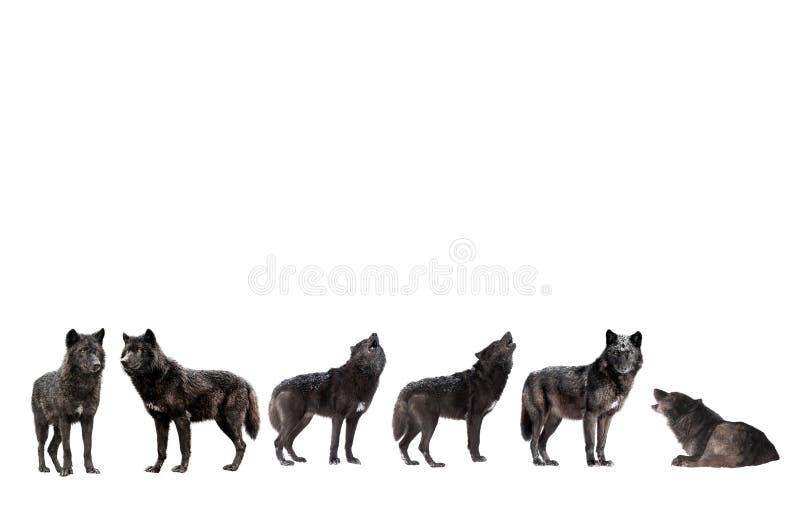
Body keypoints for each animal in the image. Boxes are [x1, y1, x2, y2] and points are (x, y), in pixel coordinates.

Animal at [31, 329, 106, 476]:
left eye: (96, 351)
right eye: (82, 350)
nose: (97, 364)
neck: (82, 387)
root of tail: (37, 380)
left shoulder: (88, 420)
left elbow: (88, 447)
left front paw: (90, 468)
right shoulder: (65, 420)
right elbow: (67, 448)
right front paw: (67, 469)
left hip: (57, 429)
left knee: (51, 449)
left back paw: (59, 468)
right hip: (43, 427)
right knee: (40, 446)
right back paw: (44, 467)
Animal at [120, 329, 260, 472]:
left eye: (139, 349)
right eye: (127, 351)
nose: (123, 361)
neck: (158, 378)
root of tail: (245, 382)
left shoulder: (182, 419)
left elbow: (184, 448)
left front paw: (182, 468)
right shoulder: (160, 420)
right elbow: (161, 449)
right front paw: (156, 468)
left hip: (230, 422)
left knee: (241, 445)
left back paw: (233, 466)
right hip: (223, 423)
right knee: (242, 444)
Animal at [269, 333, 386, 466]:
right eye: (363, 341)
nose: (374, 333)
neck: (362, 373)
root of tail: (278, 387)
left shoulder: (353, 418)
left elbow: (349, 442)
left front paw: (351, 459)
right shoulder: (338, 416)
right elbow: (335, 441)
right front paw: (333, 460)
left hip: (303, 422)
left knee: (288, 441)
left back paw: (297, 458)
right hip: (292, 421)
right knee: (278, 441)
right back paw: (284, 462)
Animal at [392, 332, 516, 467]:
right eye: (496, 343)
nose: (508, 332)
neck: (487, 377)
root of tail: (409, 387)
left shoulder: (479, 418)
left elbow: (476, 440)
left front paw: (477, 457)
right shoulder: (474, 417)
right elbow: (474, 441)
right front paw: (475, 459)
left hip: (418, 426)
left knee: (402, 444)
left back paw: (410, 462)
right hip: (430, 423)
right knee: (422, 446)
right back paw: (434, 464)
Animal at [521, 329, 642, 466]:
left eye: (629, 352)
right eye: (616, 352)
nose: (623, 368)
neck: (614, 380)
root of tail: (530, 375)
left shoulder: (606, 417)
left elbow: (602, 442)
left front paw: (603, 461)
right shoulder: (590, 415)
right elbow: (591, 442)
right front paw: (591, 462)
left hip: (554, 422)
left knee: (541, 442)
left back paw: (548, 461)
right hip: (540, 418)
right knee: (533, 441)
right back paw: (537, 461)